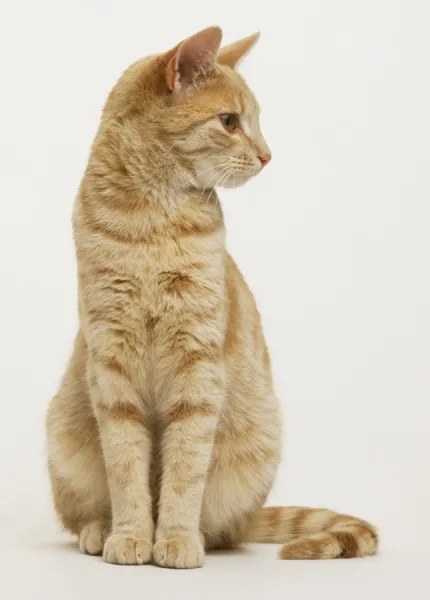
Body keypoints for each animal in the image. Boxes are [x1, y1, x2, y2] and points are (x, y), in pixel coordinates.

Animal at [45, 27, 378, 568]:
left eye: (255, 122)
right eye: (229, 122)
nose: (268, 155)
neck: (151, 219)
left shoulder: (197, 366)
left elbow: (184, 469)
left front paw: (175, 539)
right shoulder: (111, 363)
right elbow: (125, 466)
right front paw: (131, 534)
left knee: (223, 529)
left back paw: (198, 535)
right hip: (63, 431)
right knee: (82, 513)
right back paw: (99, 529)